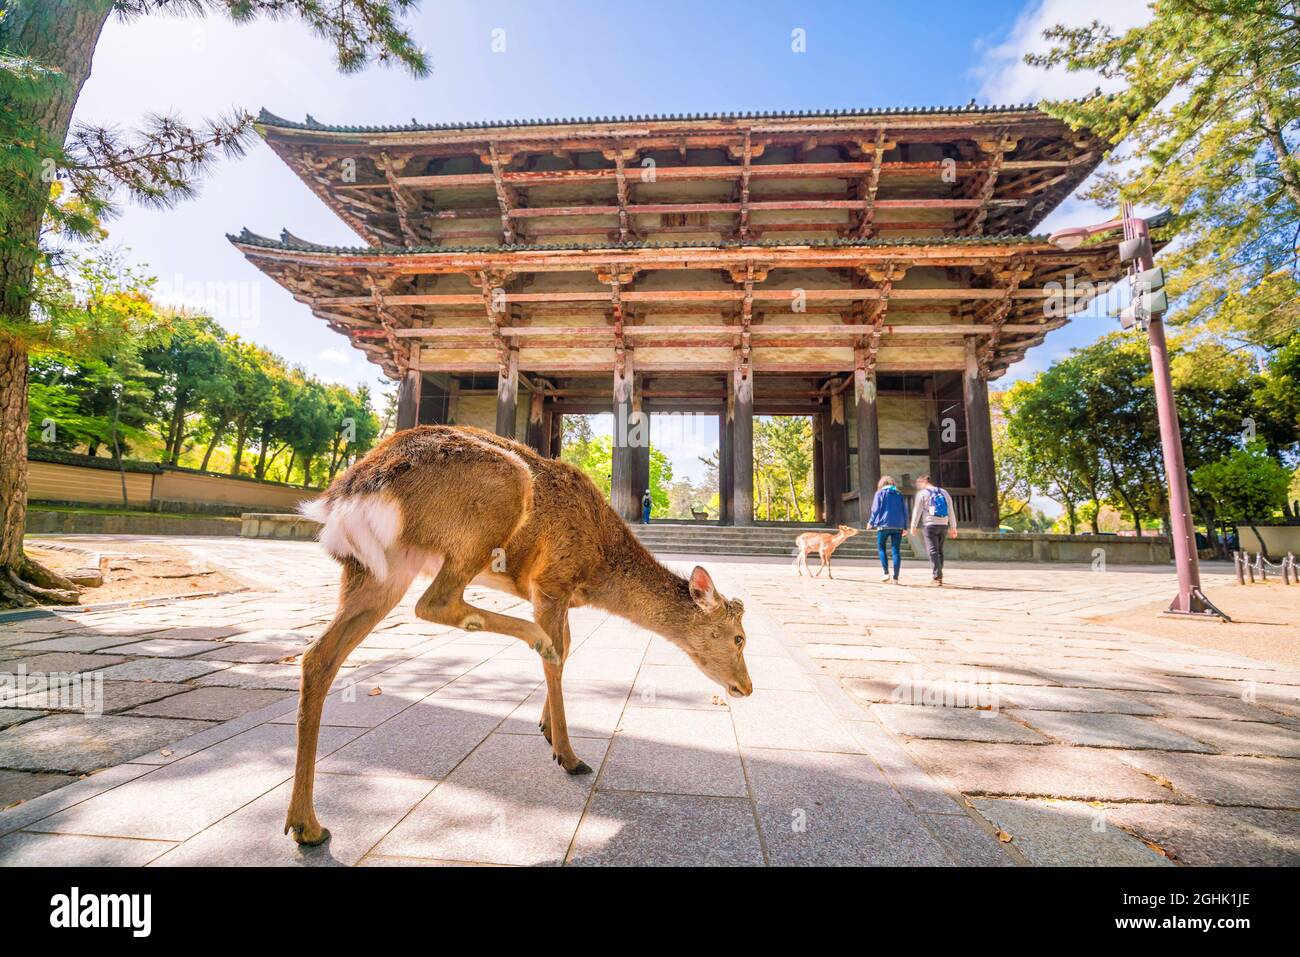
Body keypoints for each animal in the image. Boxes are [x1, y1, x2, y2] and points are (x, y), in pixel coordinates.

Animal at [286, 425, 752, 846]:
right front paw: (567, 754)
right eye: (738, 637)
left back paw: (306, 825)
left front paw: (546, 728)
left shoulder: (557, 596)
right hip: (493, 500)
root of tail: (346, 497)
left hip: (379, 569)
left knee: (319, 656)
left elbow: (568, 650)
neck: (599, 568)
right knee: (435, 603)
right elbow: (559, 654)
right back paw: (533, 638)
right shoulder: (550, 581)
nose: (746, 687)